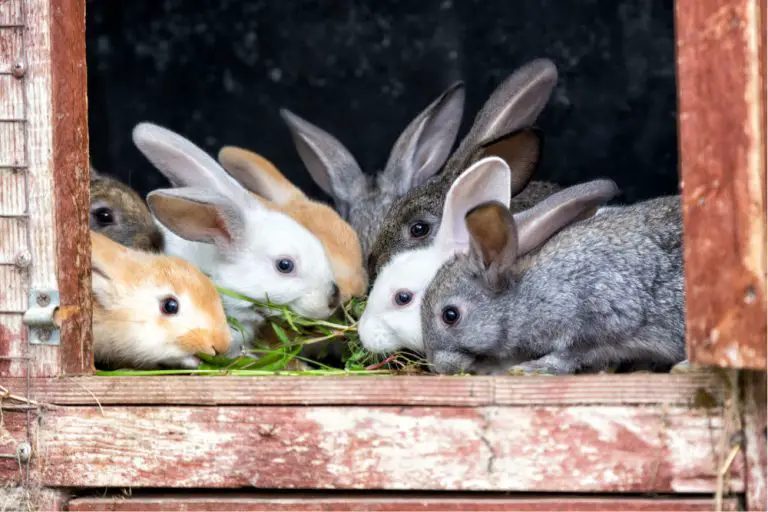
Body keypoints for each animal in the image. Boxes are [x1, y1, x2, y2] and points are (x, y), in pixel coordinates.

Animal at [421, 186, 685, 376]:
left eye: (450, 315)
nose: (437, 367)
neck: (524, 296)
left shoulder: (597, 320)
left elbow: (570, 354)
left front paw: (532, 368)